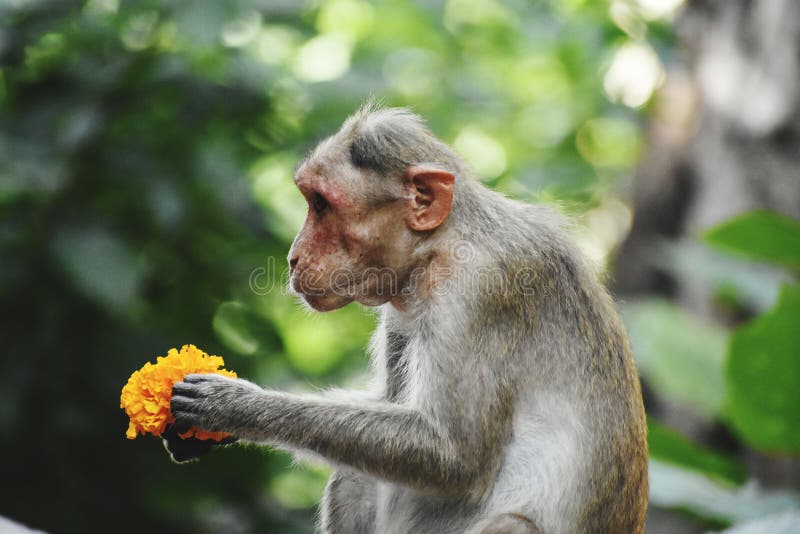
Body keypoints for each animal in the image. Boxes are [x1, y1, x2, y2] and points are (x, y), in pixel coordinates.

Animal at [170, 104, 649, 534]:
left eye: (321, 205)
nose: (292, 258)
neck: (438, 245)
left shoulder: (479, 291)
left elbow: (455, 455)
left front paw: (235, 406)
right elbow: (388, 408)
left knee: (511, 525)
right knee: (355, 471)